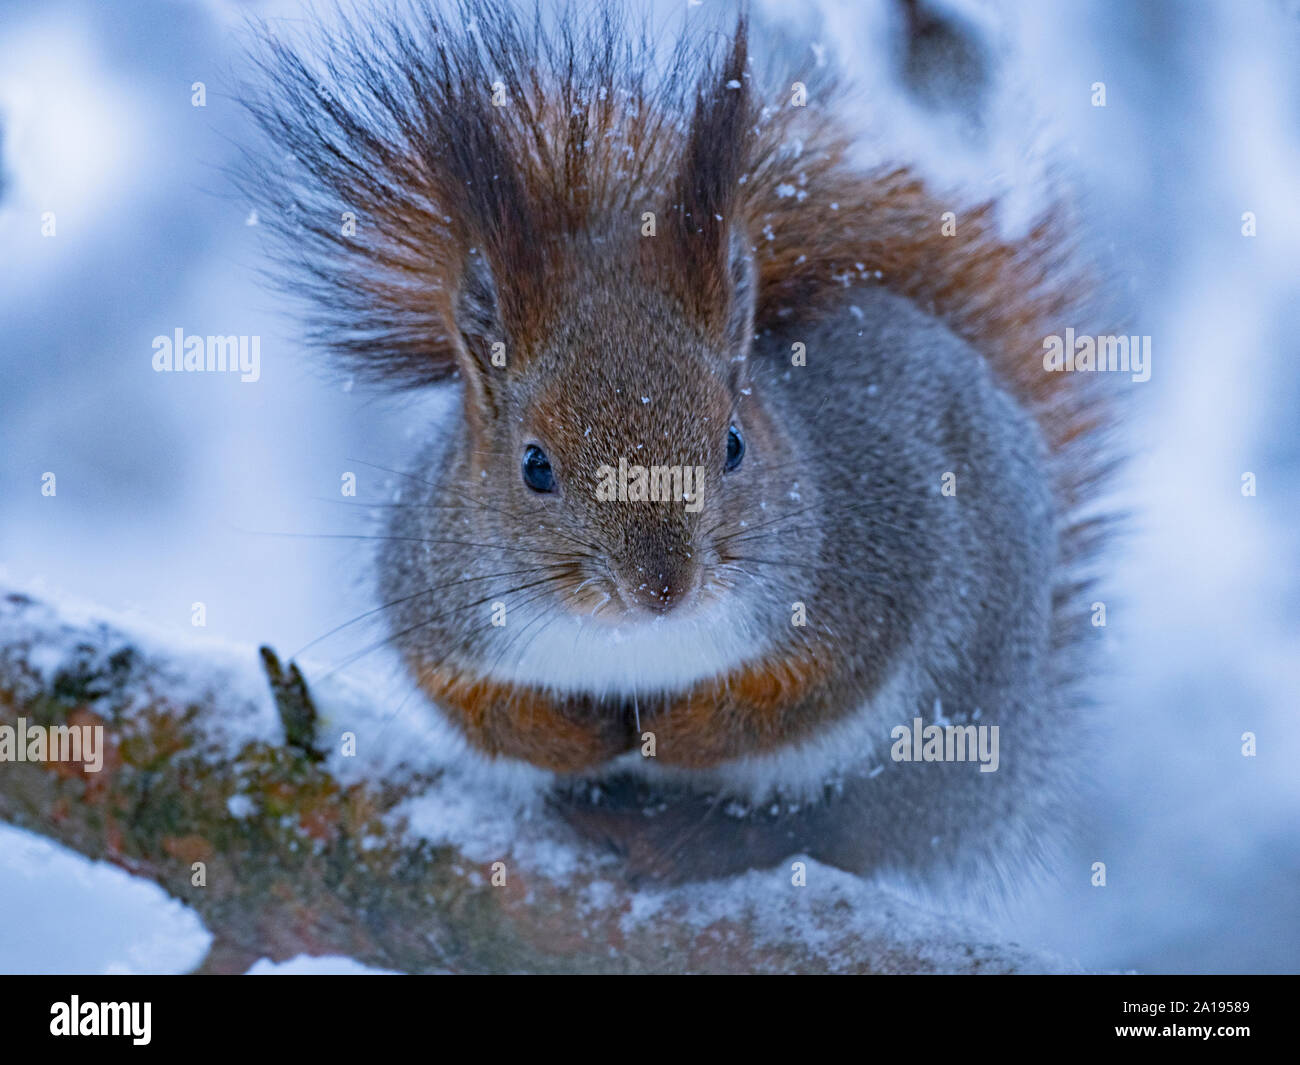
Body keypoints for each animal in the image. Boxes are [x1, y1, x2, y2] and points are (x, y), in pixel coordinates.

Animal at [242, 0, 1114, 886]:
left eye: (733, 443)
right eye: (534, 467)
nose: (664, 587)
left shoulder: (874, 579)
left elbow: (799, 697)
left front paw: (671, 733)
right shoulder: (435, 611)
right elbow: (481, 708)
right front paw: (580, 737)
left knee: (811, 828)